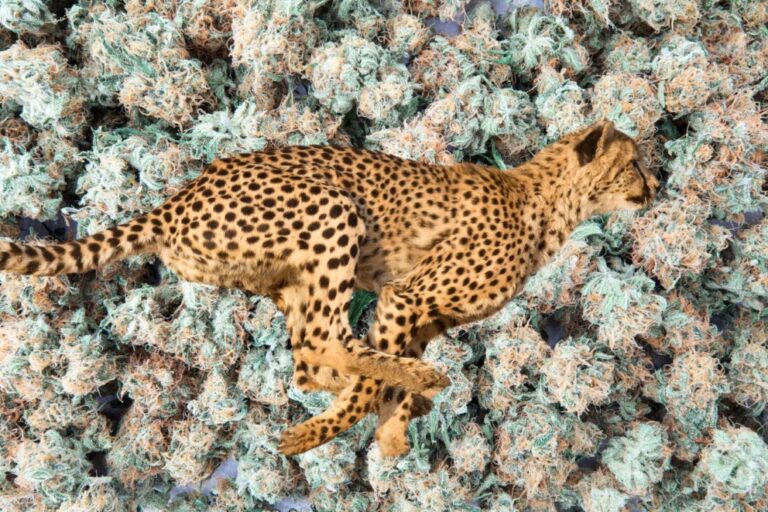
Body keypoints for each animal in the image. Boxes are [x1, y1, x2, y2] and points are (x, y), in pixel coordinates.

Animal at [0, 120, 659, 457]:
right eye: (631, 164)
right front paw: (352, 427)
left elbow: (378, 379)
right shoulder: (405, 298)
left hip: (285, 278)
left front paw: (392, 425)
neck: (545, 202)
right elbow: (374, 379)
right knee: (323, 343)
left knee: (308, 360)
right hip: (333, 211)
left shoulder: (420, 317)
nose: (654, 187)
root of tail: (179, 196)